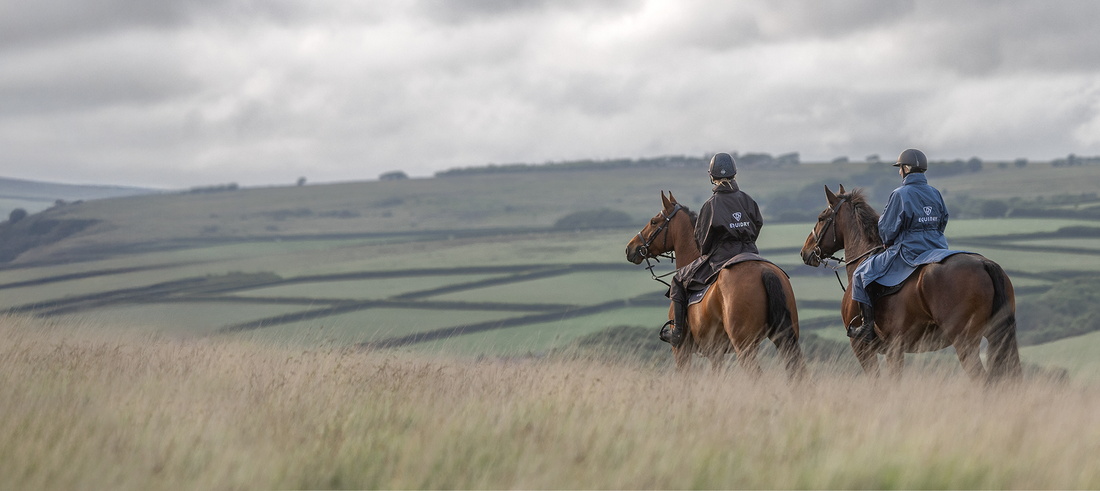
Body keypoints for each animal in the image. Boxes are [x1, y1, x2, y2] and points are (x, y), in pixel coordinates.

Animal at [625, 191, 806, 380]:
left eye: (653, 222)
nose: (630, 248)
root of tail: (764, 271)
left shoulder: (681, 351)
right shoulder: (715, 353)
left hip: (745, 348)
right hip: (783, 338)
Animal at [800, 185, 1022, 383]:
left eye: (820, 218)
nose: (805, 251)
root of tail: (984, 263)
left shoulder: (864, 348)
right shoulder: (894, 350)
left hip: (964, 342)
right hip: (994, 337)